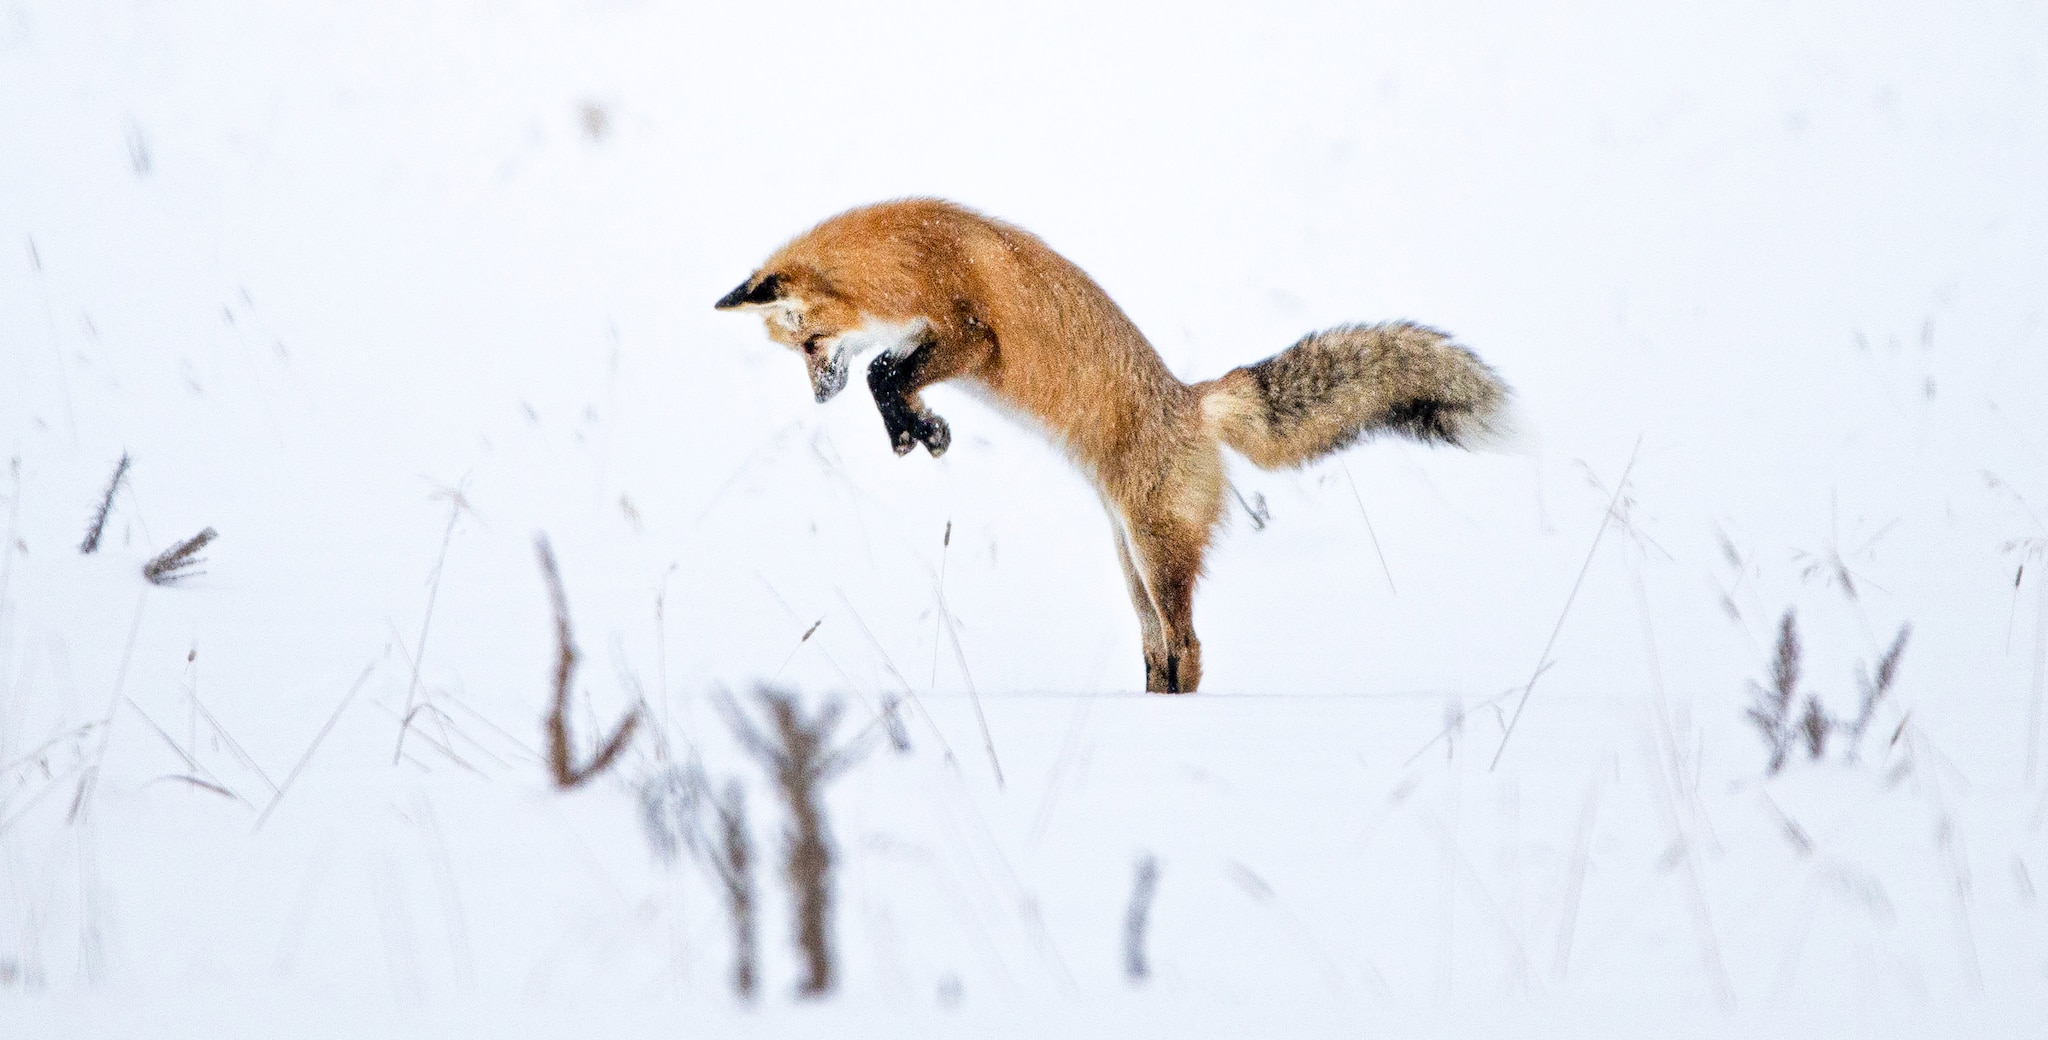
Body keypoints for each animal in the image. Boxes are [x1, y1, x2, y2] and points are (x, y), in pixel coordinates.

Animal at [715, 198, 1513, 694]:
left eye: (810, 344)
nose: (819, 398)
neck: (910, 255)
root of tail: (1193, 400)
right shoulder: (926, 340)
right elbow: (889, 379)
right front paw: (916, 430)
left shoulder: (972, 335)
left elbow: (883, 371)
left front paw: (921, 428)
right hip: (1132, 568)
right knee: (1160, 649)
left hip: (1157, 555)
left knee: (1189, 647)